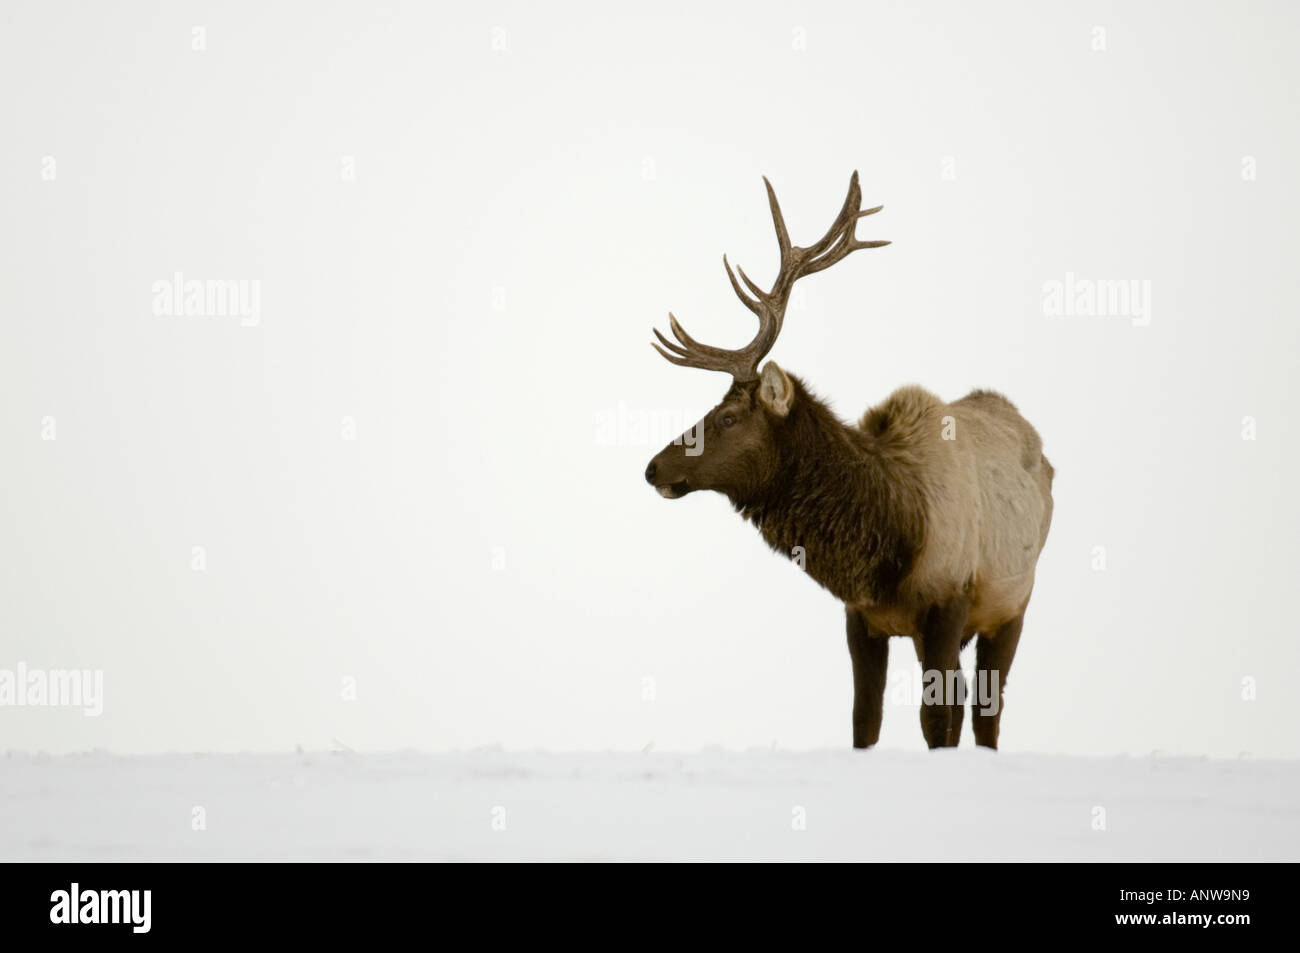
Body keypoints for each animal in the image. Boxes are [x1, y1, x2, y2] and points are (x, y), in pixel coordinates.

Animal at [643, 172, 1054, 750]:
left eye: (727, 417)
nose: (654, 468)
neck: (894, 534)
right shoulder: (861, 616)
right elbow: (865, 718)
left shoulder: (948, 602)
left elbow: (938, 721)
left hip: (1013, 604)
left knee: (986, 717)